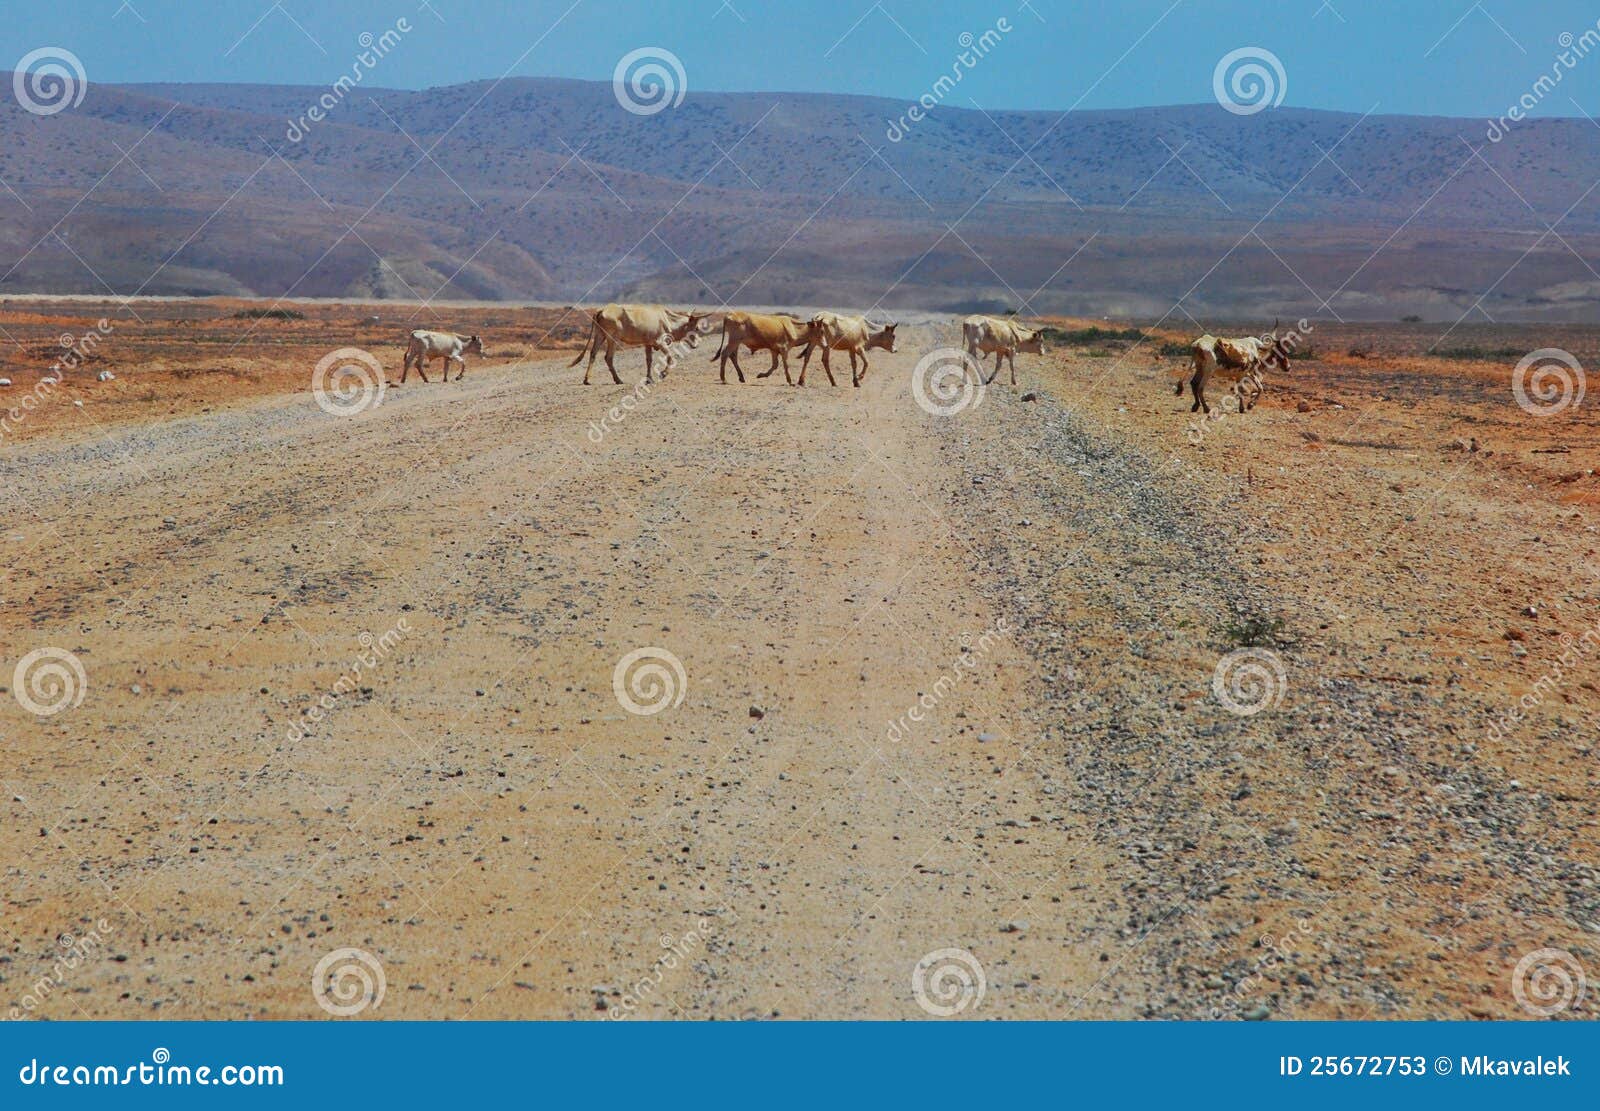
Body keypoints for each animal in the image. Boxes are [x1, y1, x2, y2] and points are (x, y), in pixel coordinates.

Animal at [569, 304, 708, 385]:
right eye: (696, 328)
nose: (696, 345)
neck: (666, 319)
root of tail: (601, 310)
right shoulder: (660, 342)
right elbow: (670, 357)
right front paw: (663, 374)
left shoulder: (648, 344)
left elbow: (649, 360)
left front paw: (649, 379)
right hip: (612, 338)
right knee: (608, 357)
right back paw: (618, 380)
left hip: (600, 335)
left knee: (593, 353)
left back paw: (587, 380)